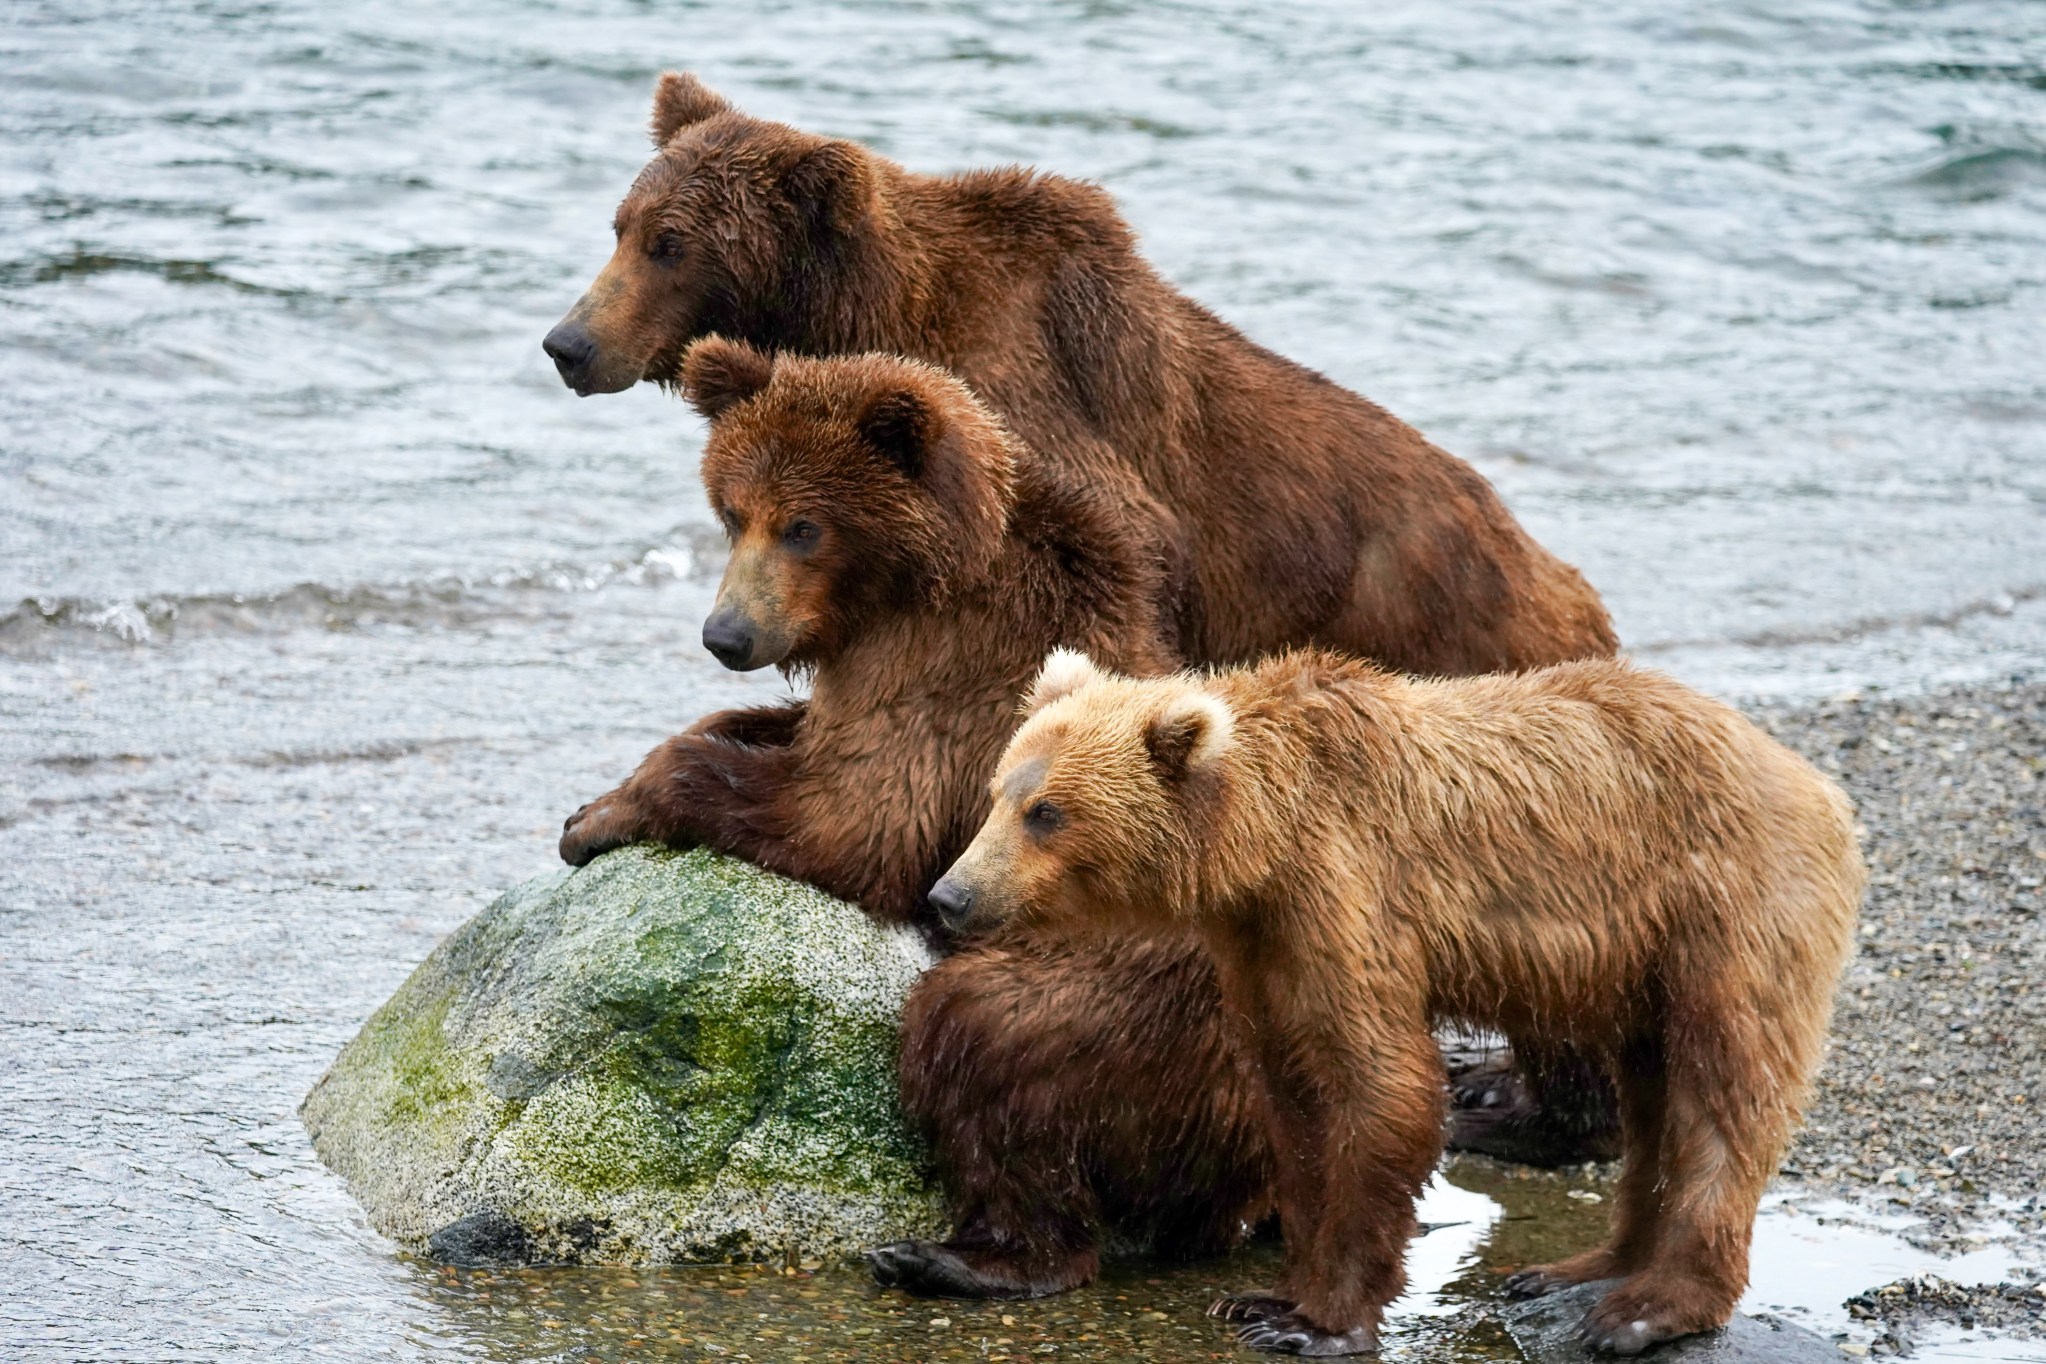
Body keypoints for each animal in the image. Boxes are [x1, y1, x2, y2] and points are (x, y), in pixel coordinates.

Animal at [557, 337, 1178, 926]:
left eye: (802, 527)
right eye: (733, 514)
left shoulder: (942, 669)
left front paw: (597, 819)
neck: (899, 591)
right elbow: (777, 726)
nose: (726, 635)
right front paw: (603, 798)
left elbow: (853, 819)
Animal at [920, 648, 1863, 1357]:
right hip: (1642, 964)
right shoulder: (1263, 946)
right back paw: (1579, 1267)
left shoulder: (1348, 894)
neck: (1264, 839)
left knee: (1723, 1089)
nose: (949, 896)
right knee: (1653, 1095)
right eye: (1000, 790)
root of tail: (1816, 784)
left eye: (1048, 811)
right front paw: (1267, 1294)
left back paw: (1645, 1309)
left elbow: (1379, 1086)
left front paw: (1319, 1322)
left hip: (1726, 906)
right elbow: (1292, 1094)